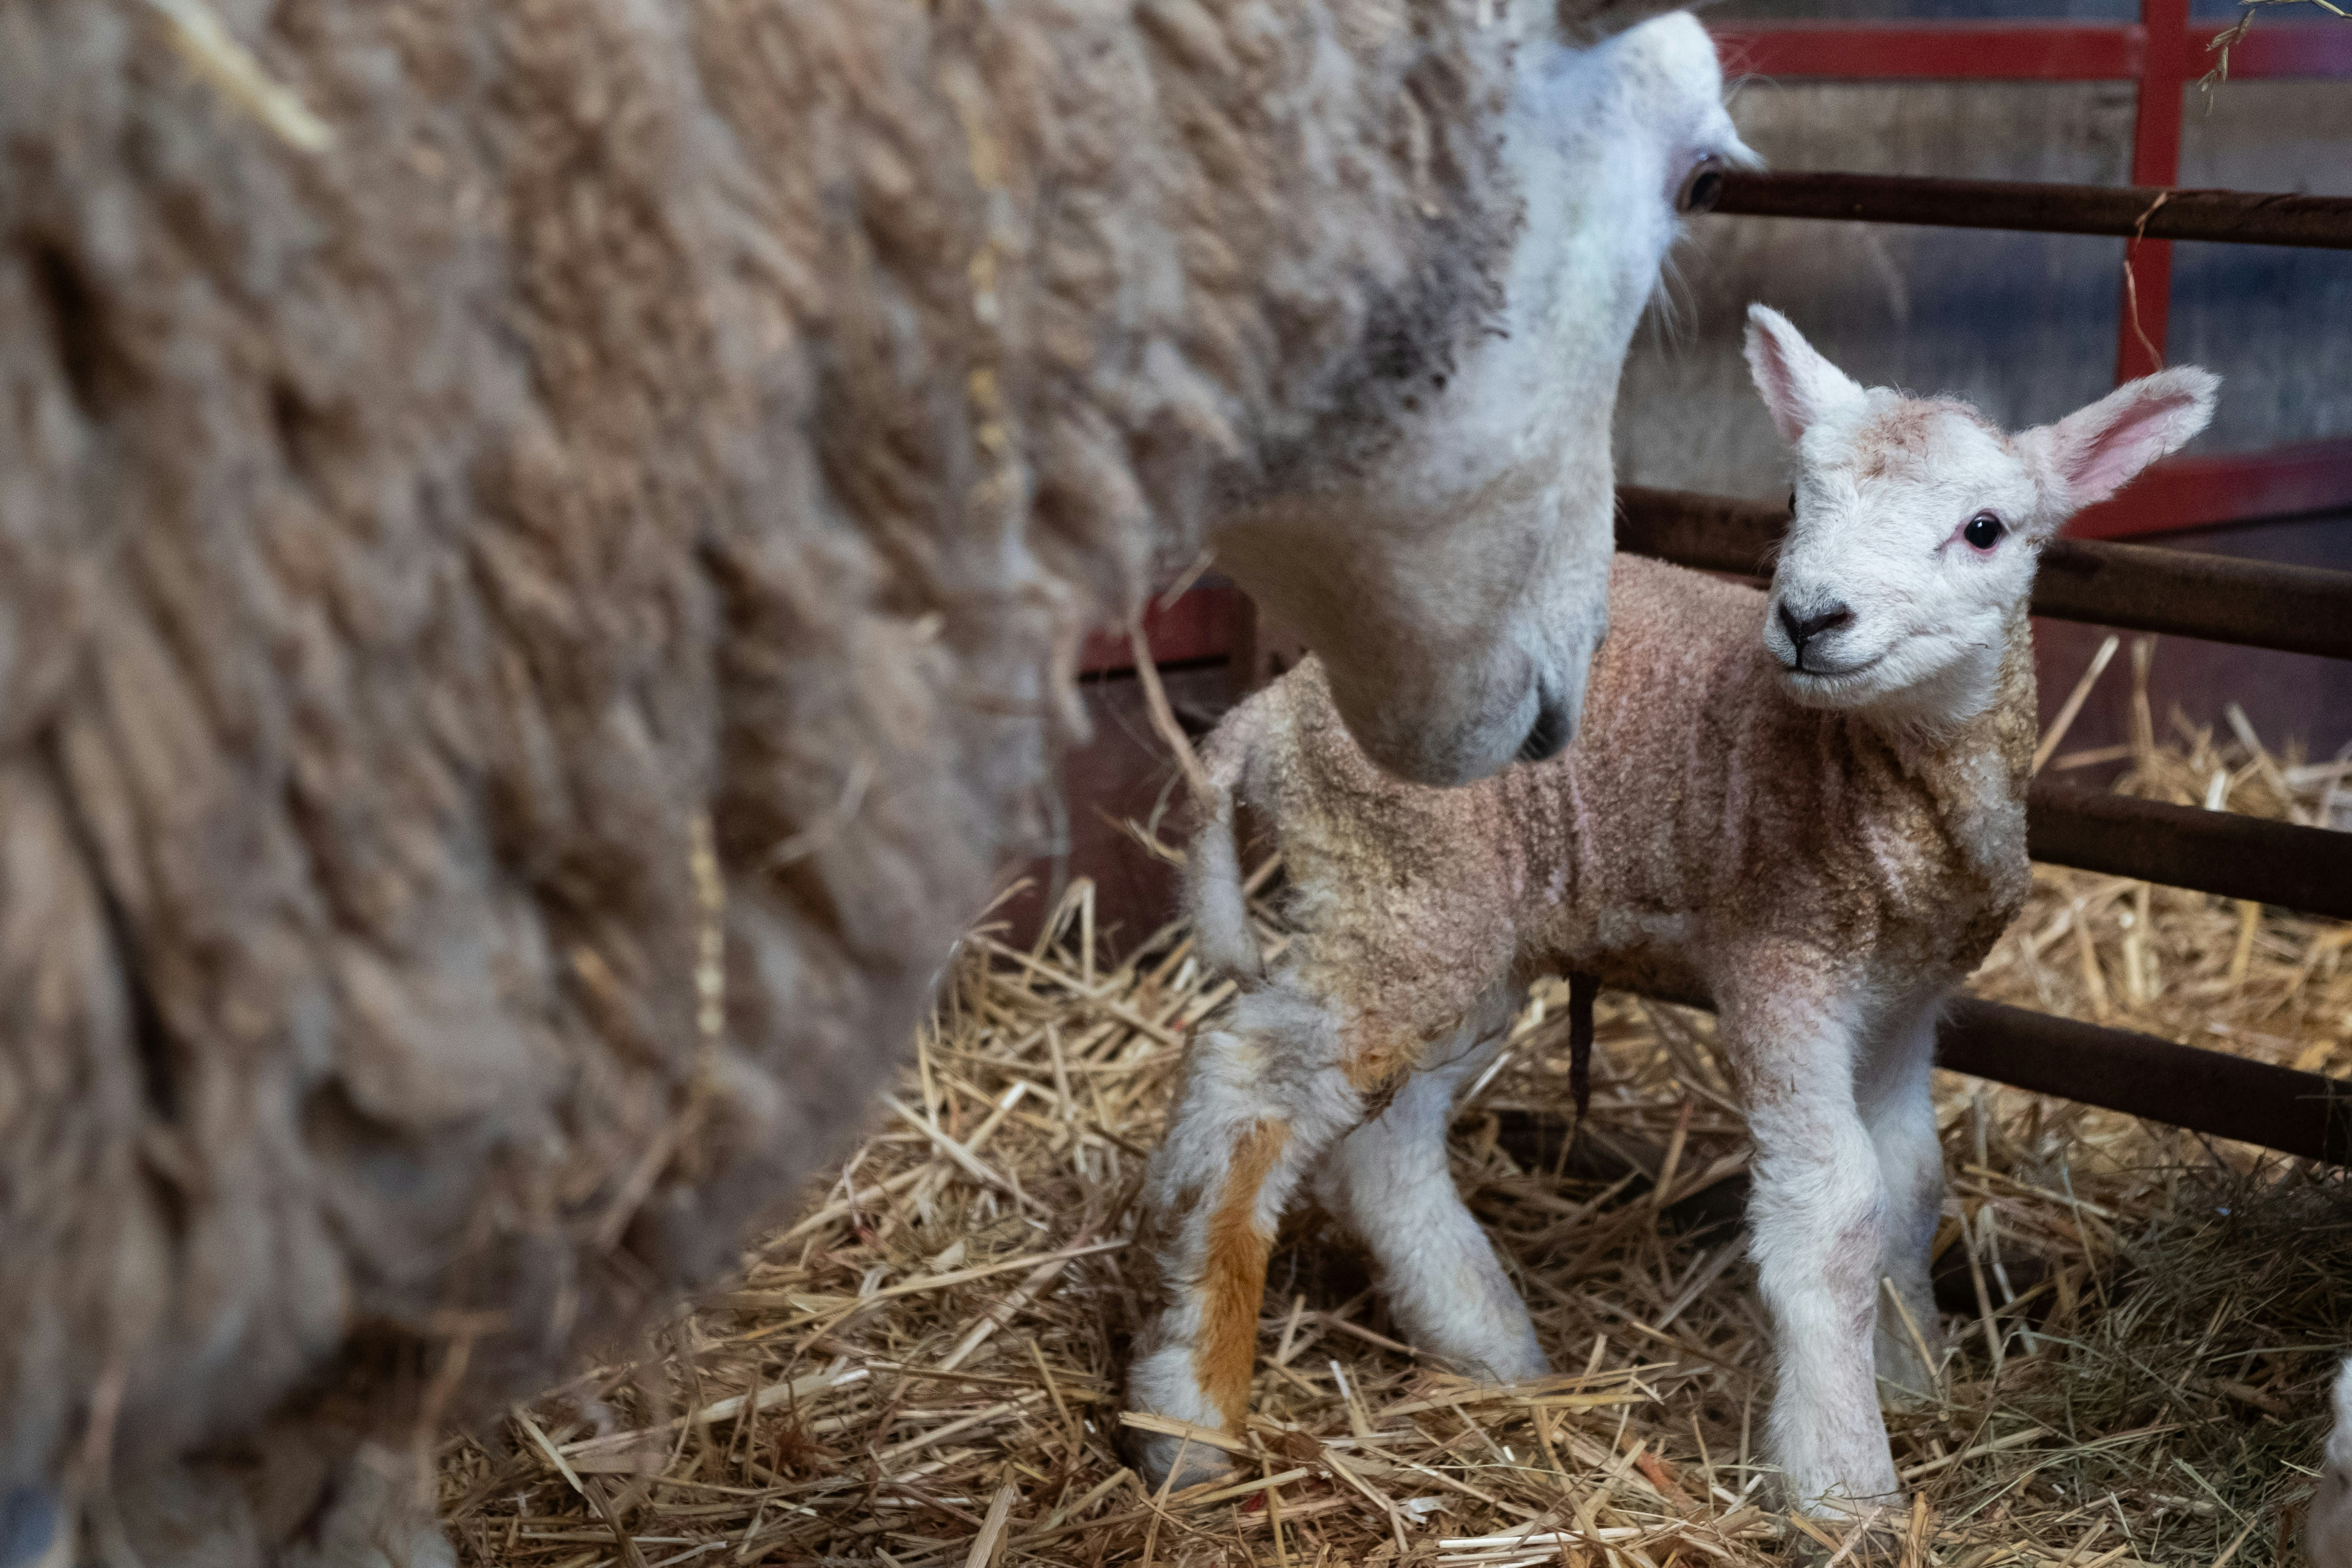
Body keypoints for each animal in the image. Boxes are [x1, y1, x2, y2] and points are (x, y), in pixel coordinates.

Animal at [1127, 304, 2218, 1511]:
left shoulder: (1906, 996)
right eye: (1791, 500)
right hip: (1399, 892)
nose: (1810, 618)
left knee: (1384, 1136)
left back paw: (1490, 1349)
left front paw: (1918, 1382)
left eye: (1985, 528)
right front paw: (1845, 1482)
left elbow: (1913, 1184)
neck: (1866, 771)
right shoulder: (1782, 955)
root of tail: (1273, 709)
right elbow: (1836, 1206)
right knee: (1246, 1087)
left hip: (1448, 924)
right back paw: (1185, 1419)